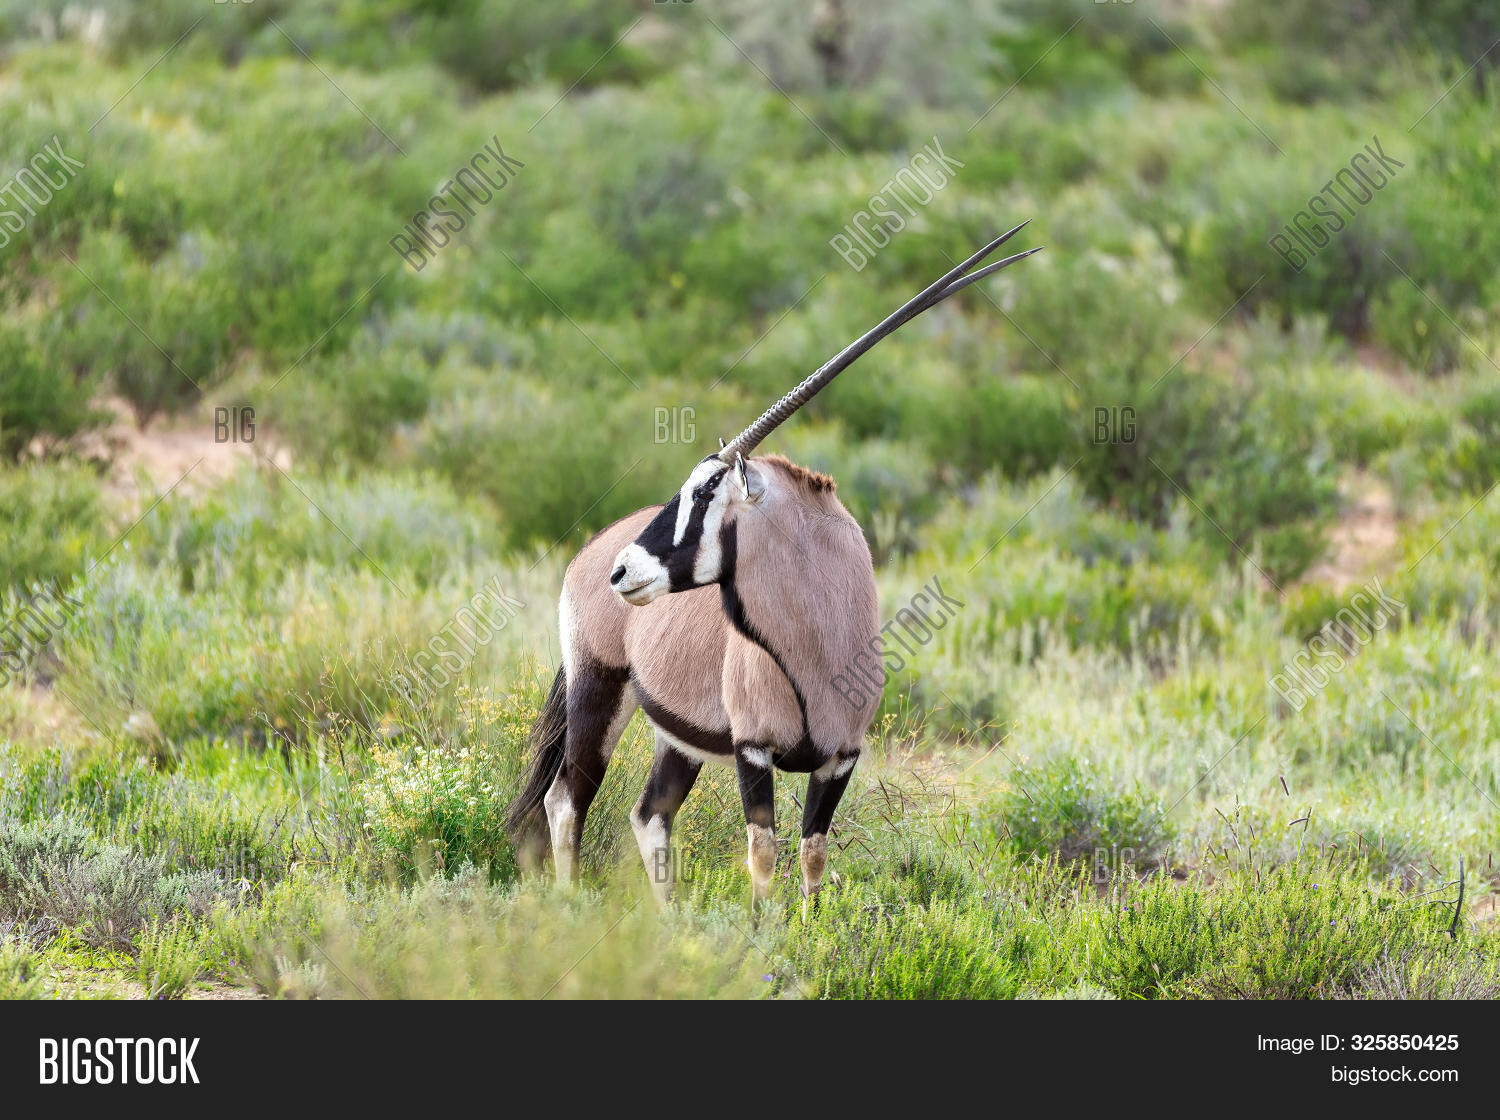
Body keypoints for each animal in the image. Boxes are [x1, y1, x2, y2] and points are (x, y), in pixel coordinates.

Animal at [505, 223, 1040, 905]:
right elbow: (762, 853)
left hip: (677, 739)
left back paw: (670, 917)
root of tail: (589, 550)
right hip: (597, 690)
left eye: (707, 489)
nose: (623, 572)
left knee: (648, 814)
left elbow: (812, 856)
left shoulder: (840, 759)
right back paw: (571, 906)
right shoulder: (753, 751)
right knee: (567, 799)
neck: (815, 634)